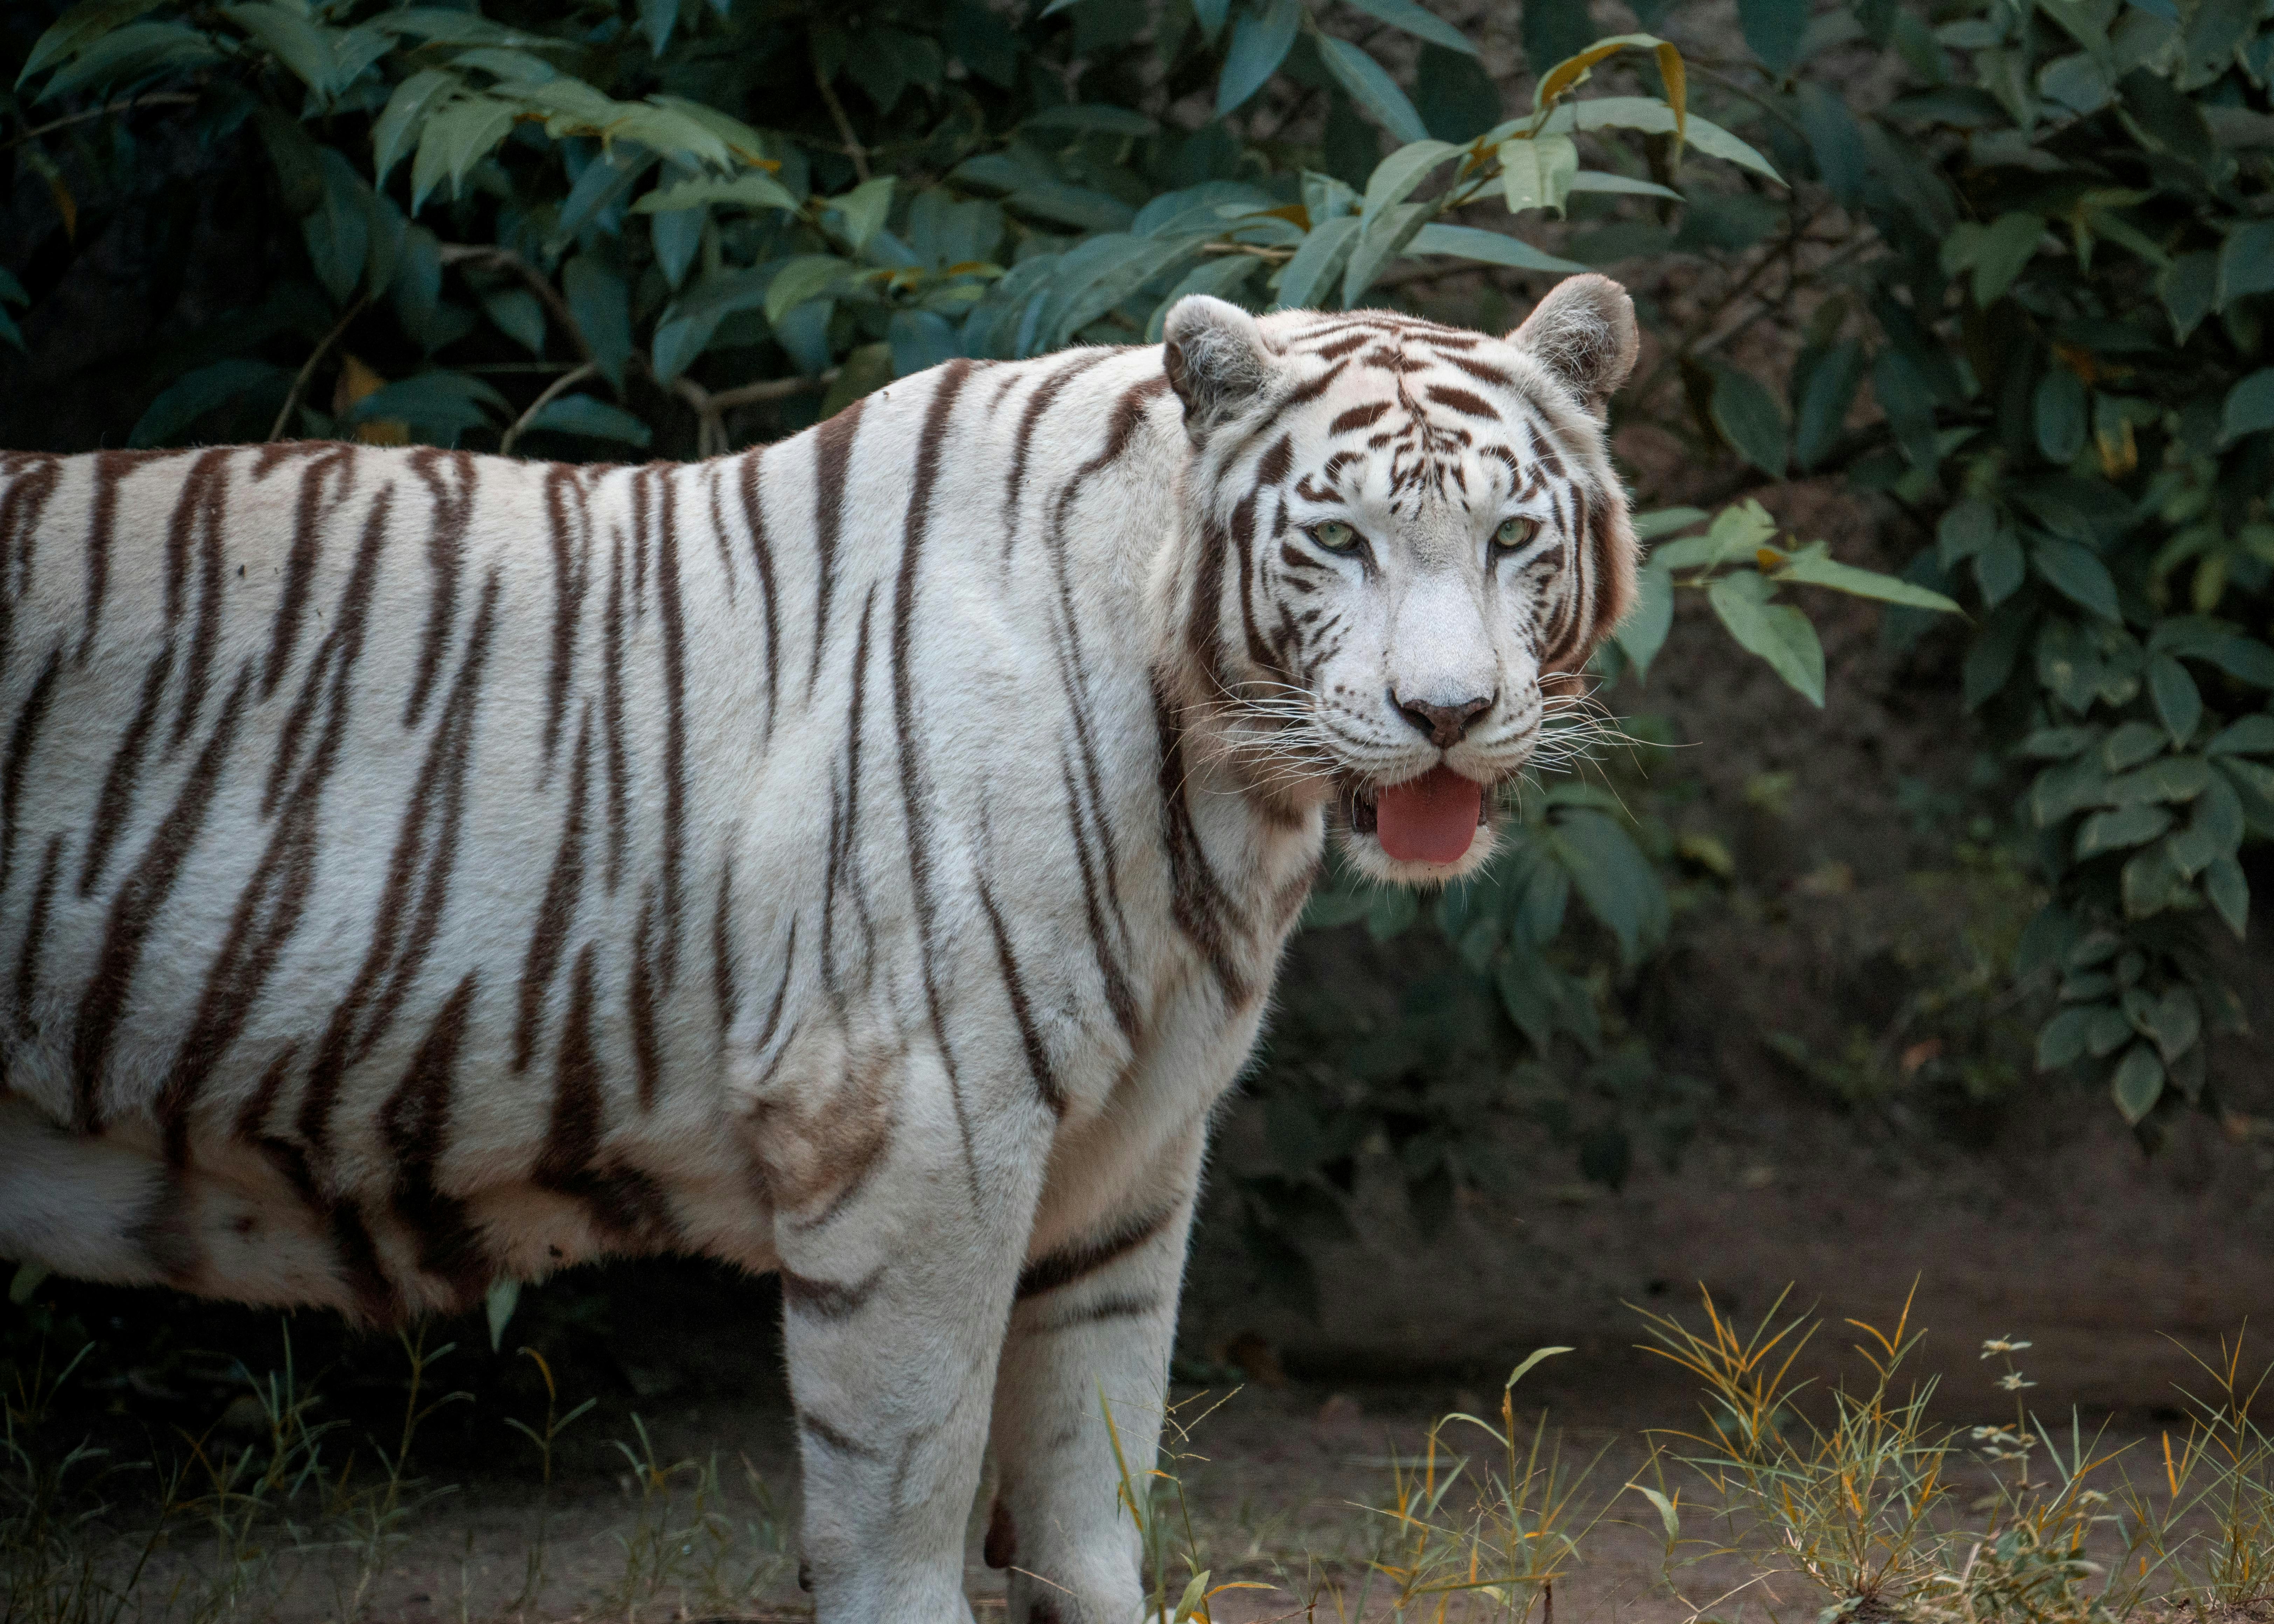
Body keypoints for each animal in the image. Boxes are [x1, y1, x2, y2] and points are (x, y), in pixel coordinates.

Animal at [0, 273, 1638, 1624]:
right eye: (1339, 540)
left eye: (1508, 537)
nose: (1446, 713)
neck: (1224, 788)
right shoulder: (912, 1116)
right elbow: (905, 1485)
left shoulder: (1131, 1157)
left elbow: (1089, 1488)